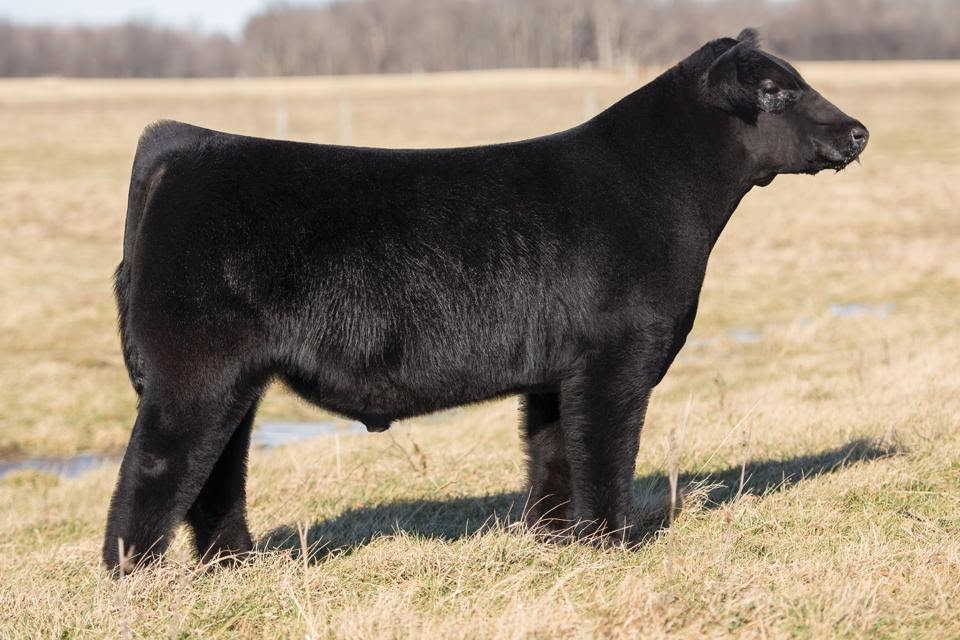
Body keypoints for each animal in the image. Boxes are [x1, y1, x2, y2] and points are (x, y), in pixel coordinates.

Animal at [103, 29, 868, 573]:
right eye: (772, 90)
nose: (857, 131)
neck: (661, 192)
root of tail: (181, 144)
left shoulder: (558, 370)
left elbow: (553, 454)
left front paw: (555, 542)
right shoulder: (615, 359)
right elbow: (605, 452)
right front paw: (613, 545)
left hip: (233, 380)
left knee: (217, 477)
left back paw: (239, 568)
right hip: (193, 375)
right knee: (153, 474)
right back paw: (139, 583)